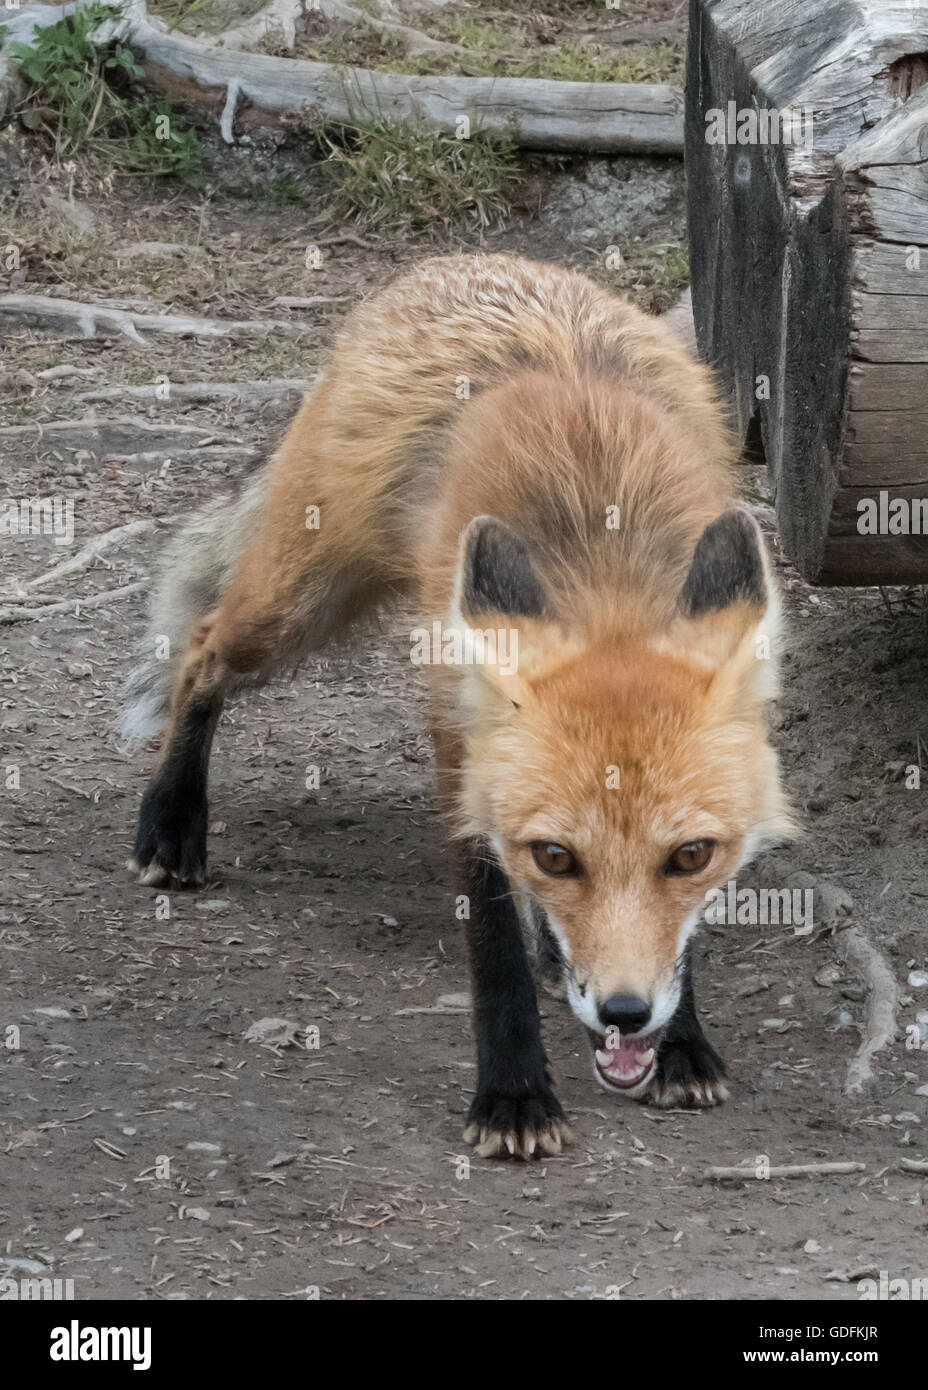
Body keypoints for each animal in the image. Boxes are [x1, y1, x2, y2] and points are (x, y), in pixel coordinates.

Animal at [123, 253, 795, 1161]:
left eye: (691, 856)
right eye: (555, 855)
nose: (625, 1014)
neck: (604, 559)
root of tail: (455, 261)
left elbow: (678, 940)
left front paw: (680, 1041)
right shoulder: (461, 742)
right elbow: (492, 938)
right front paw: (513, 1092)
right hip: (295, 604)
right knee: (198, 649)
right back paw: (171, 821)